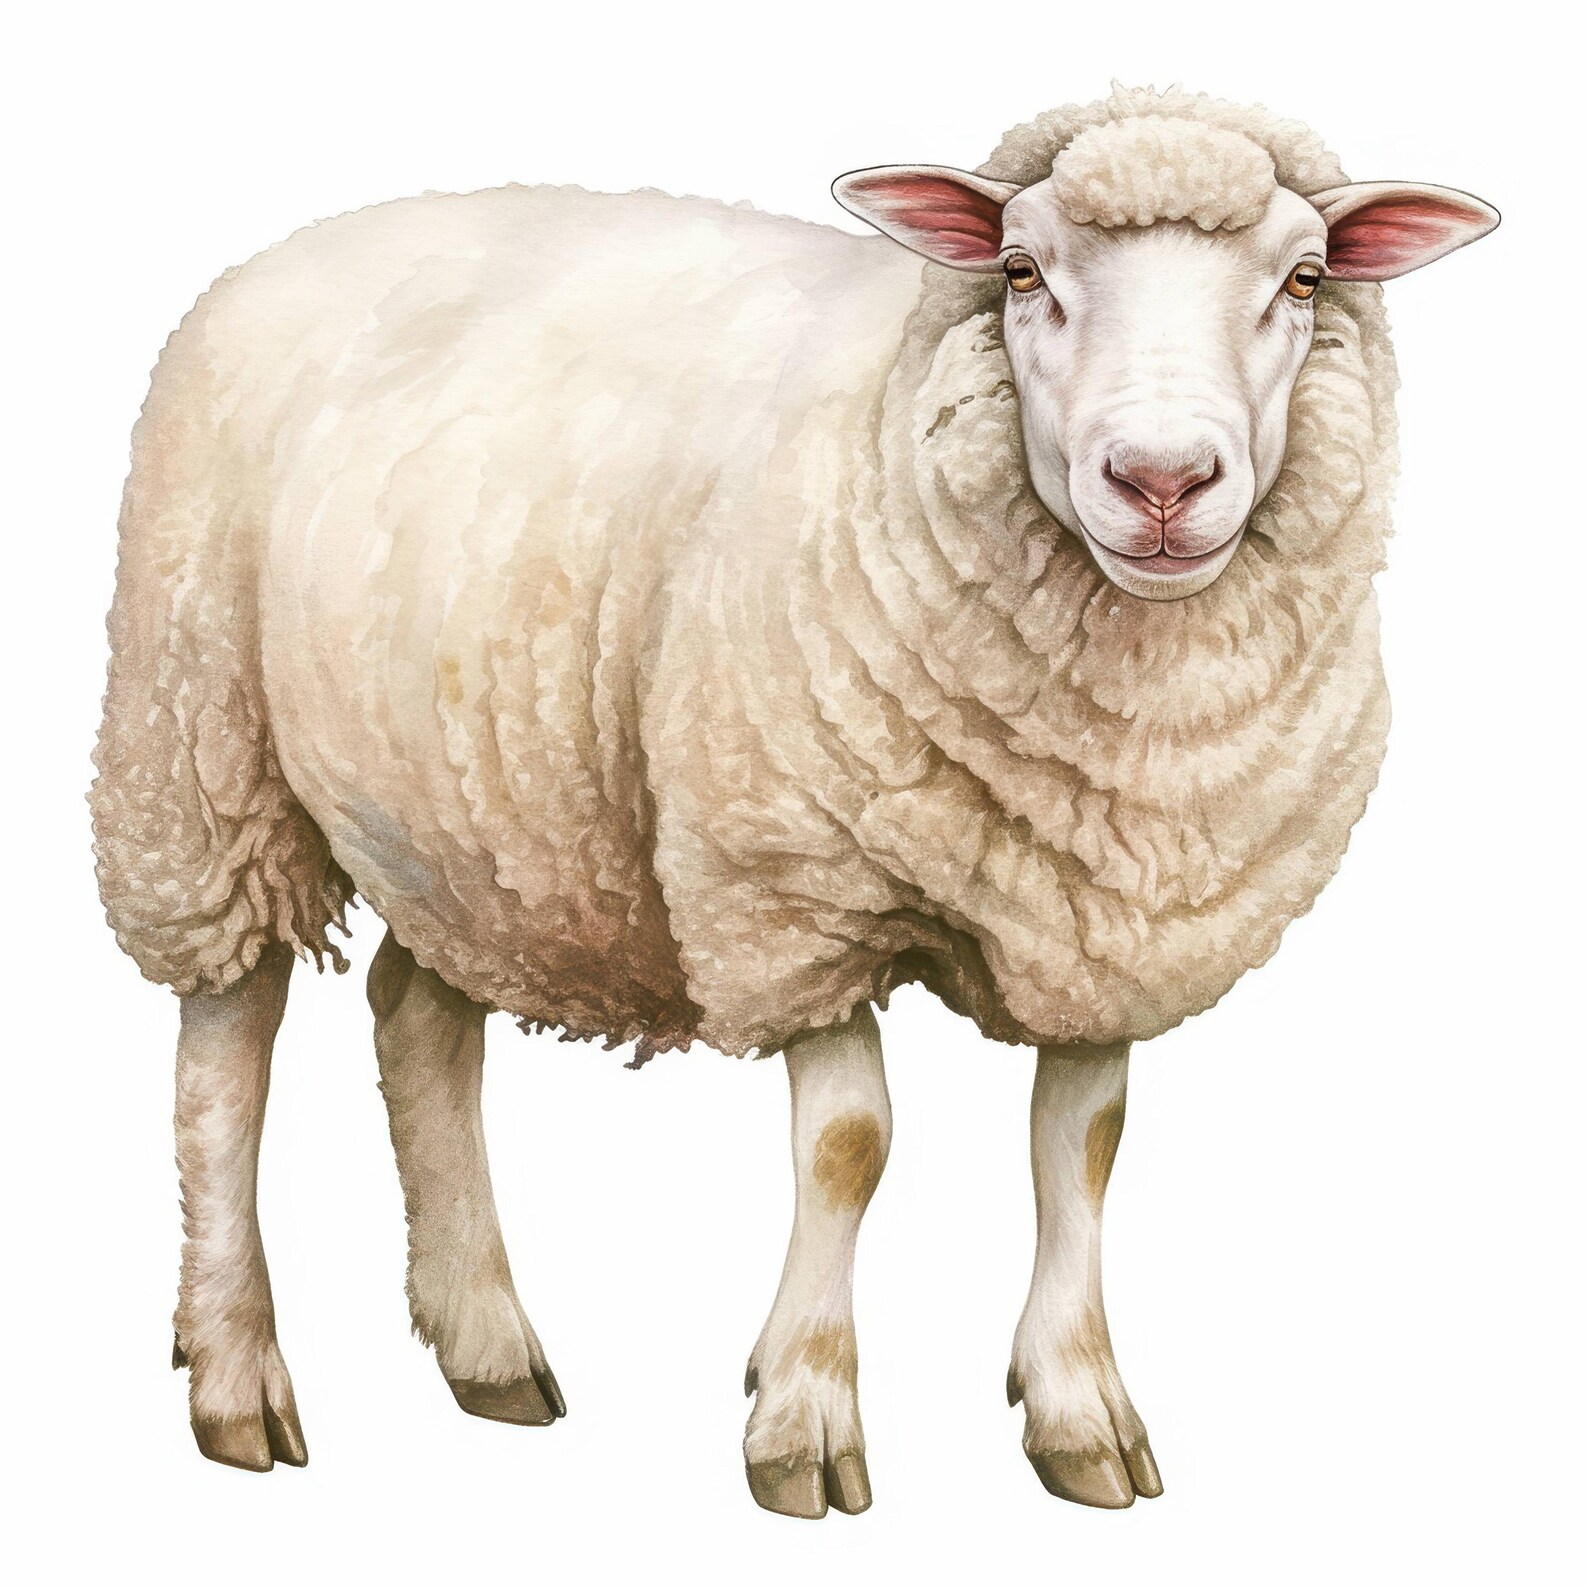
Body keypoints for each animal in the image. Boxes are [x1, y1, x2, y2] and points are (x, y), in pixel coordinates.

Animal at [90, 84, 1498, 1514]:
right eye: (1020, 270)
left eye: (1305, 277)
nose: (1160, 480)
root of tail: (304, 242)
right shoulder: (792, 889)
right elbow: (851, 1145)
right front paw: (804, 1417)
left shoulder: (1105, 924)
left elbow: (1081, 1145)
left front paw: (1078, 1410)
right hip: (197, 751)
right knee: (224, 1058)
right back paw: (236, 1376)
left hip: (470, 818)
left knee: (417, 1021)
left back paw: (485, 1346)